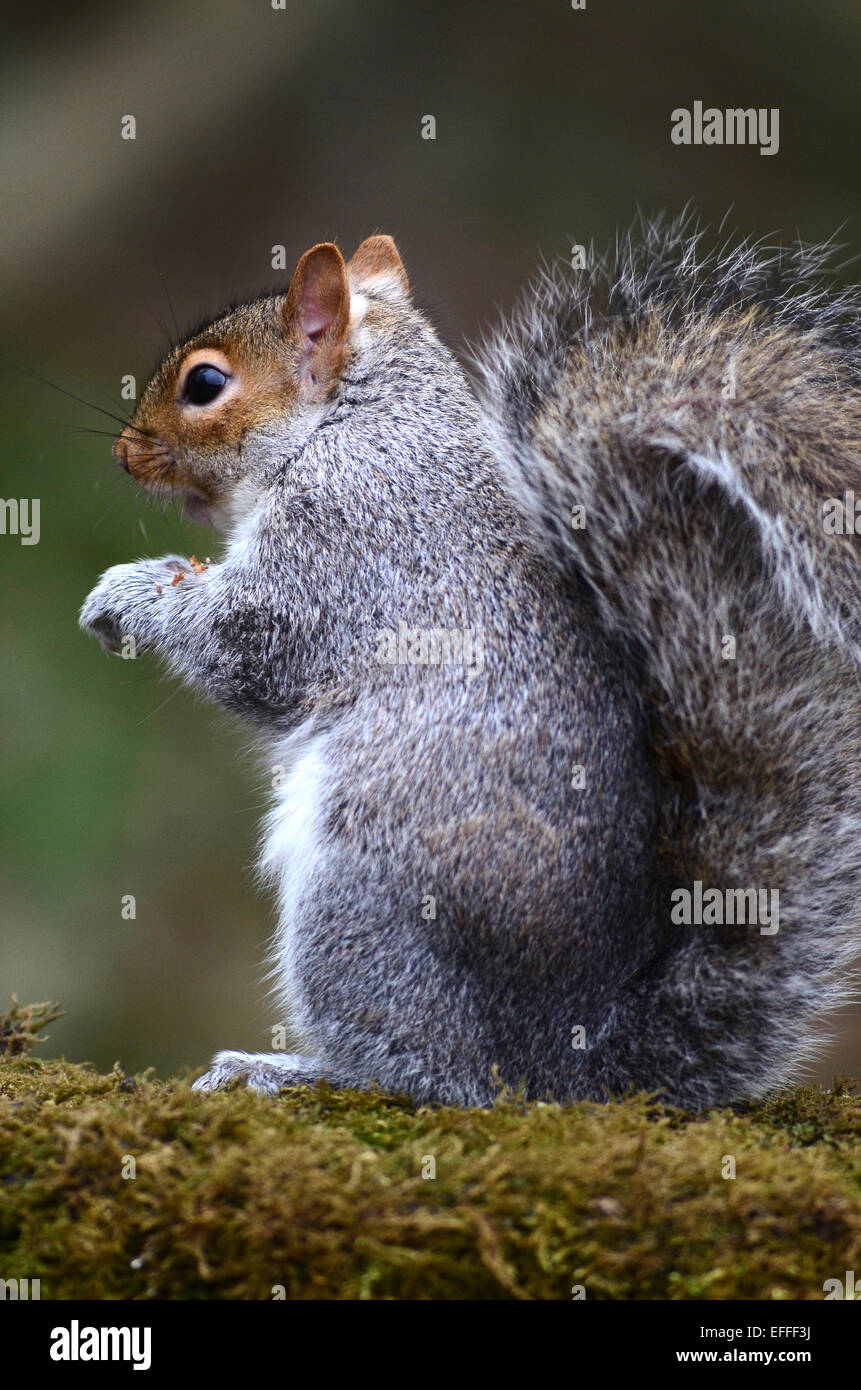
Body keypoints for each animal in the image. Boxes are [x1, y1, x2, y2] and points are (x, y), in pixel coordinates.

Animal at [80, 213, 861, 1109]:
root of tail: (564, 1065)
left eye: (204, 384)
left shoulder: (346, 537)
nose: (123, 455)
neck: (355, 418)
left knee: (437, 1075)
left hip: (364, 901)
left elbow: (255, 646)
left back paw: (293, 1069)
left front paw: (130, 593)